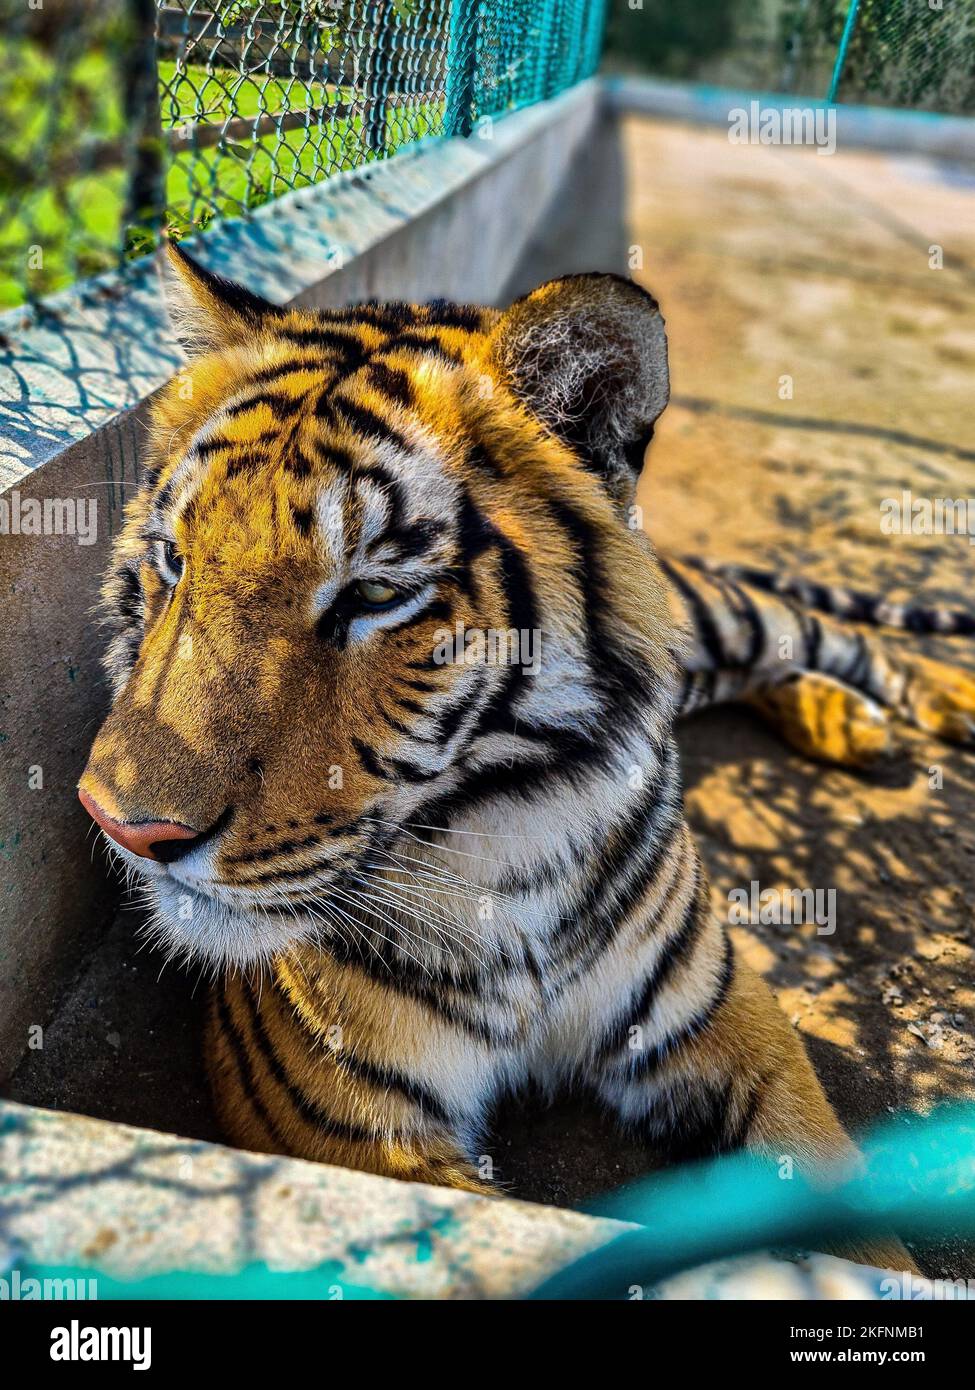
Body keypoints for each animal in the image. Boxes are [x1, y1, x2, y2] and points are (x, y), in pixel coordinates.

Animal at [78, 246, 974, 1270]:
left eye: (374, 594)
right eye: (173, 559)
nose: (124, 828)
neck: (507, 850)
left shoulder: (726, 1019)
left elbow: (857, 1232)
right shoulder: (344, 1119)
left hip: (724, 612)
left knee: (816, 630)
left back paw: (935, 701)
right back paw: (844, 721)